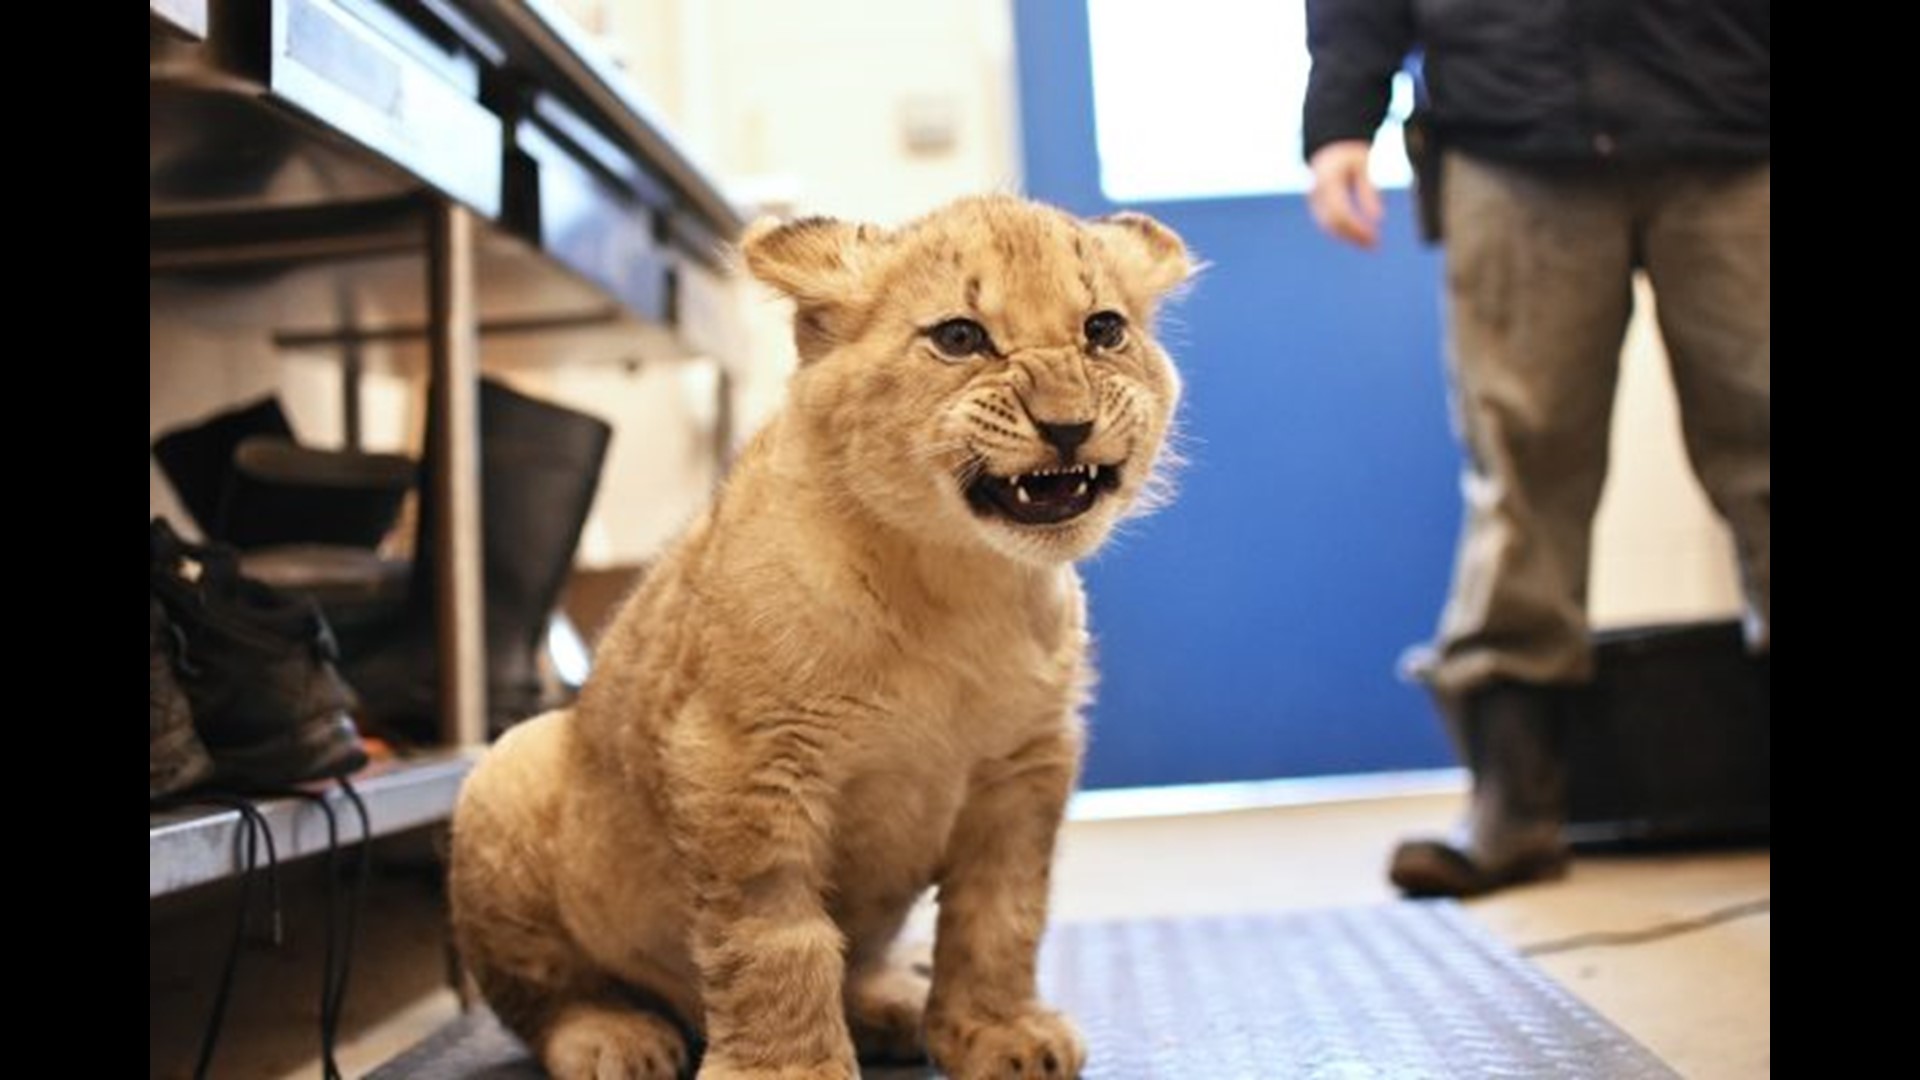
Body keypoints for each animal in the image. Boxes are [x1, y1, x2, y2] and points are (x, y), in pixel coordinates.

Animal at [448, 194, 1191, 1080]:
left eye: (1104, 330)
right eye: (960, 338)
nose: (1069, 426)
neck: (961, 580)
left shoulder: (1024, 766)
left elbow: (1001, 913)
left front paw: (999, 1031)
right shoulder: (742, 760)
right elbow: (773, 938)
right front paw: (788, 1068)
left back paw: (892, 1005)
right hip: (508, 772)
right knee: (547, 994)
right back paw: (614, 1037)